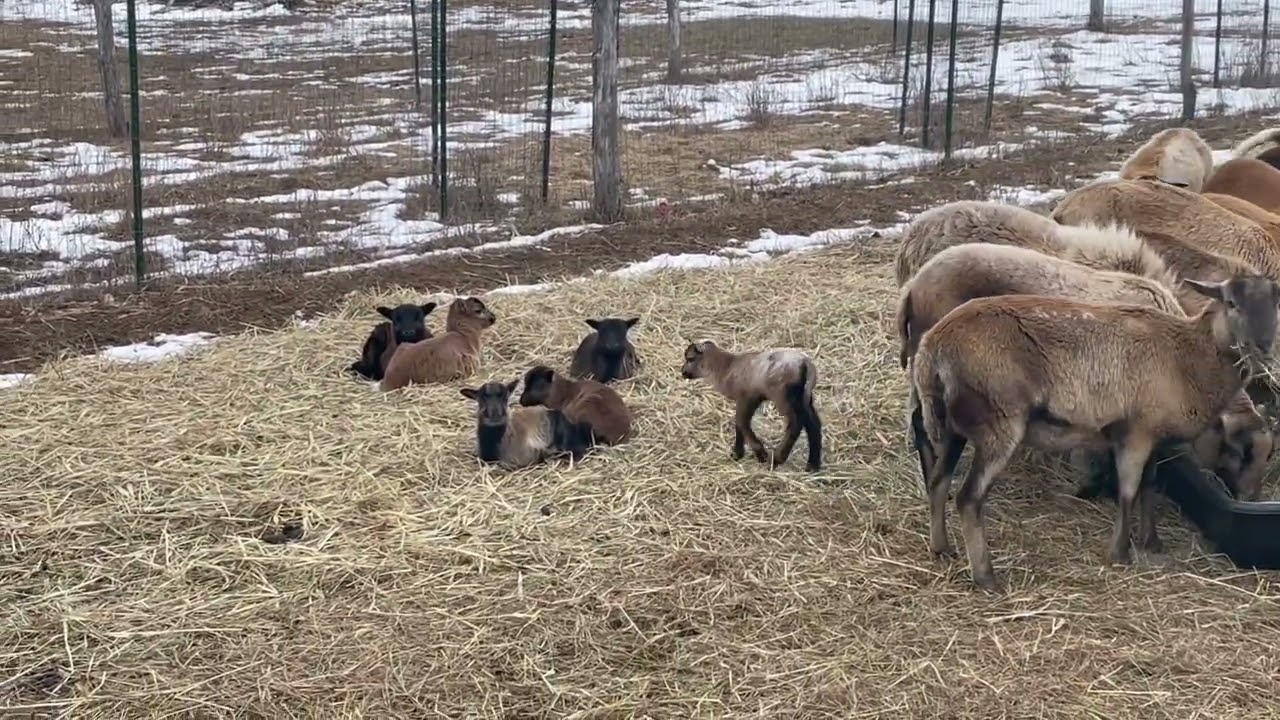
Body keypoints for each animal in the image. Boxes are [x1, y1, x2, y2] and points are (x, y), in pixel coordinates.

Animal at [681, 340, 823, 472]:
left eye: (690, 358)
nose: (682, 372)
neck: (725, 367)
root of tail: (806, 364)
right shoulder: (744, 399)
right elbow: (739, 424)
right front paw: (737, 454)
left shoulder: (749, 397)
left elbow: (741, 422)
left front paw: (760, 454)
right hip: (803, 397)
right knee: (813, 424)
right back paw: (813, 465)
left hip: (784, 395)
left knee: (796, 424)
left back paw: (776, 460)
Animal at [911, 274, 1280, 591]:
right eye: (1231, 302)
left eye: (1275, 304)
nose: (1263, 346)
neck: (1188, 356)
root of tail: (931, 348)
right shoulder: (1136, 432)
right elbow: (1129, 491)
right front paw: (1120, 552)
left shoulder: (1156, 438)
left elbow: (1150, 487)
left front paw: (1151, 541)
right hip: (999, 423)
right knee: (968, 498)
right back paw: (986, 576)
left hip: (954, 426)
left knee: (939, 481)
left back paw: (941, 548)